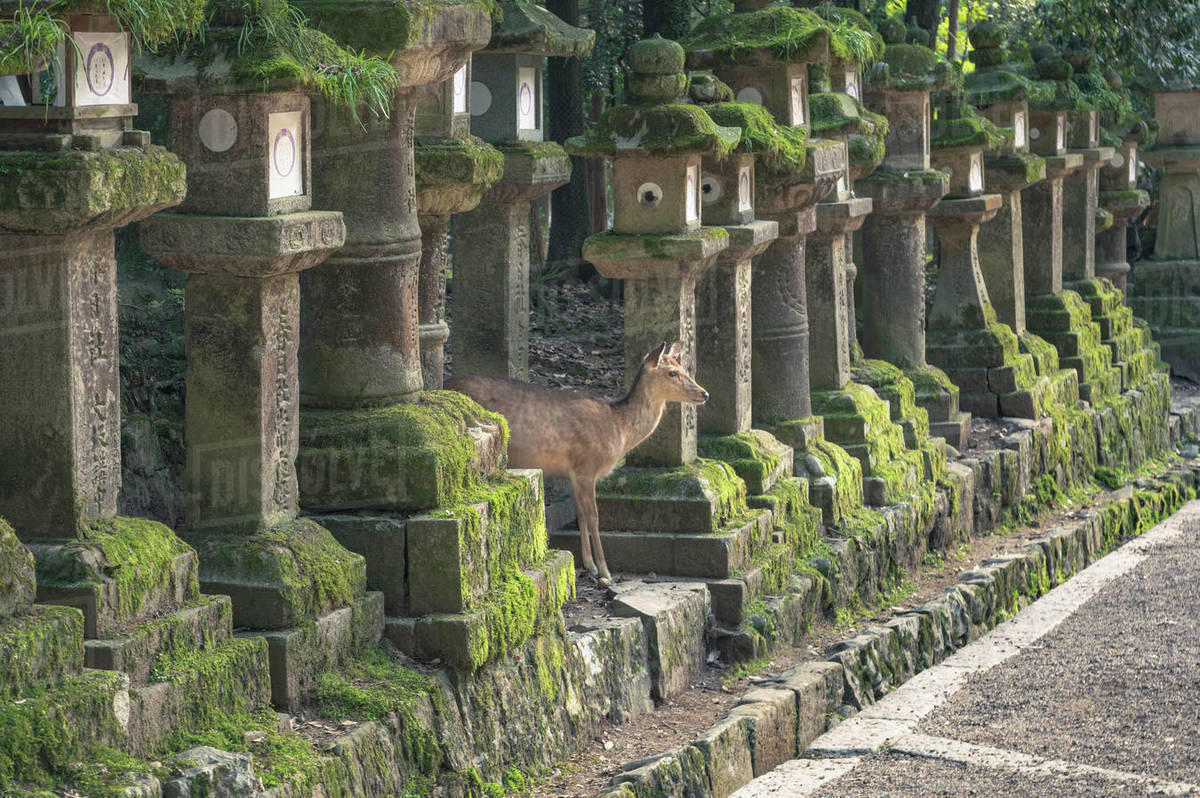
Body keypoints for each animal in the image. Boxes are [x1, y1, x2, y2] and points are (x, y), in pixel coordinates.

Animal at [446, 342, 709, 586]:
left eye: (684, 367)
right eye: (672, 373)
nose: (704, 393)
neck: (619, 429)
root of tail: (444, 384)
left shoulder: (573, 472)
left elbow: (580, 514)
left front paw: (590, 566)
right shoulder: (586, 466)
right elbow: (594, 516)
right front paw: (606, 572)